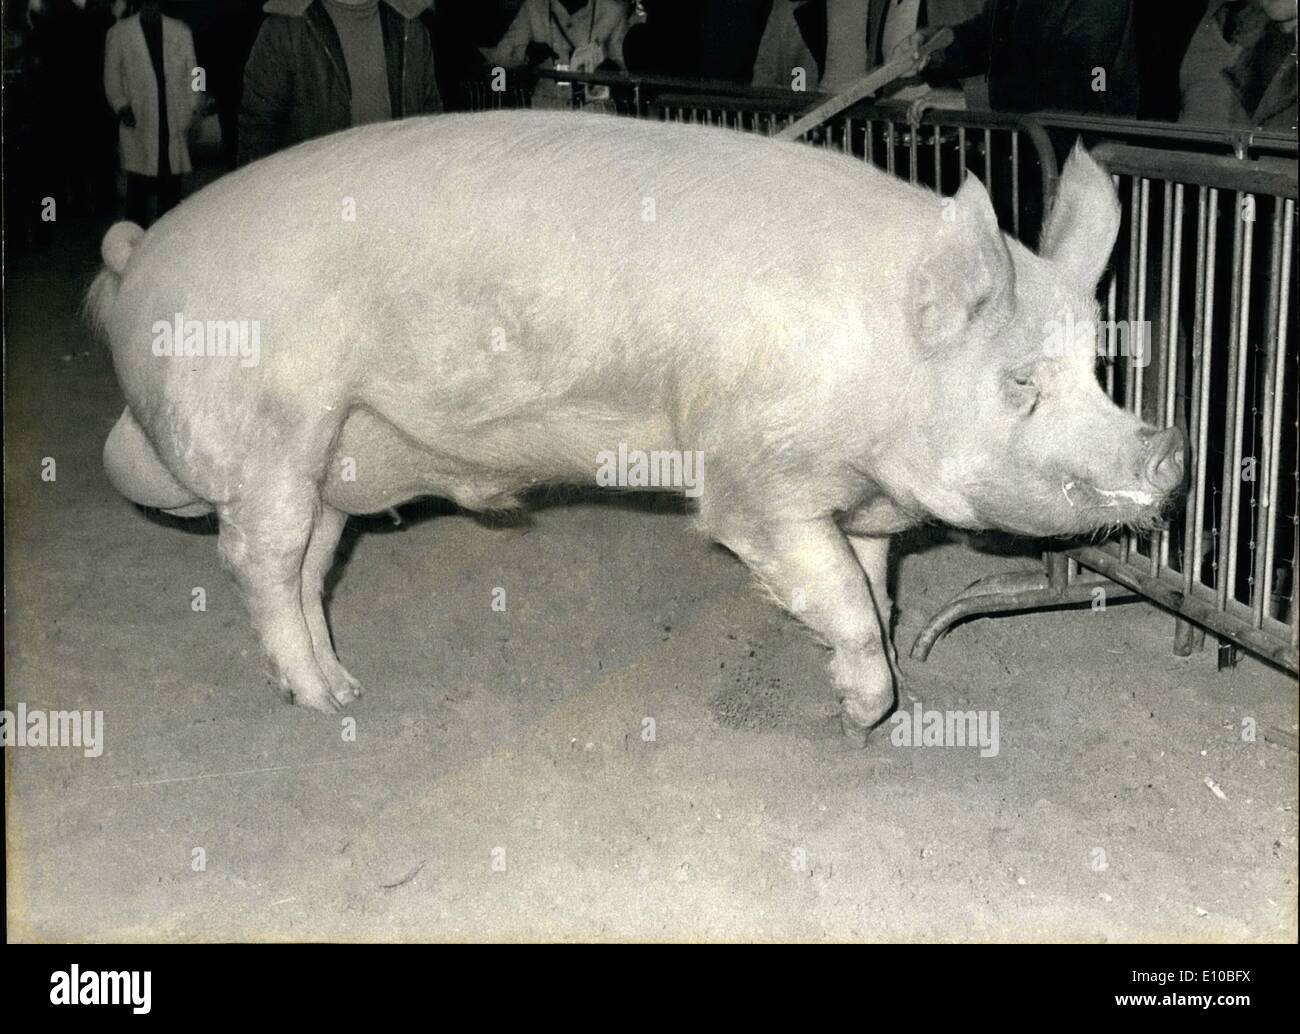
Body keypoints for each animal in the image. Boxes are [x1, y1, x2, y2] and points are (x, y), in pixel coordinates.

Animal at [89, 110, 1186, 739]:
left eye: (1099, 368)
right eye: (1019, 382)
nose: (1169, 447)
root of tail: (135, 262)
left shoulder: (863, 501)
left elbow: (874, 588)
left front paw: (859, 705)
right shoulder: (752, 475)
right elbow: (827, 586)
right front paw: (866, 712)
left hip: (331, 455)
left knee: (310, 563)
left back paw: (342, 685)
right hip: (267, 431)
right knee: (256, 558)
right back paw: (327, 705)